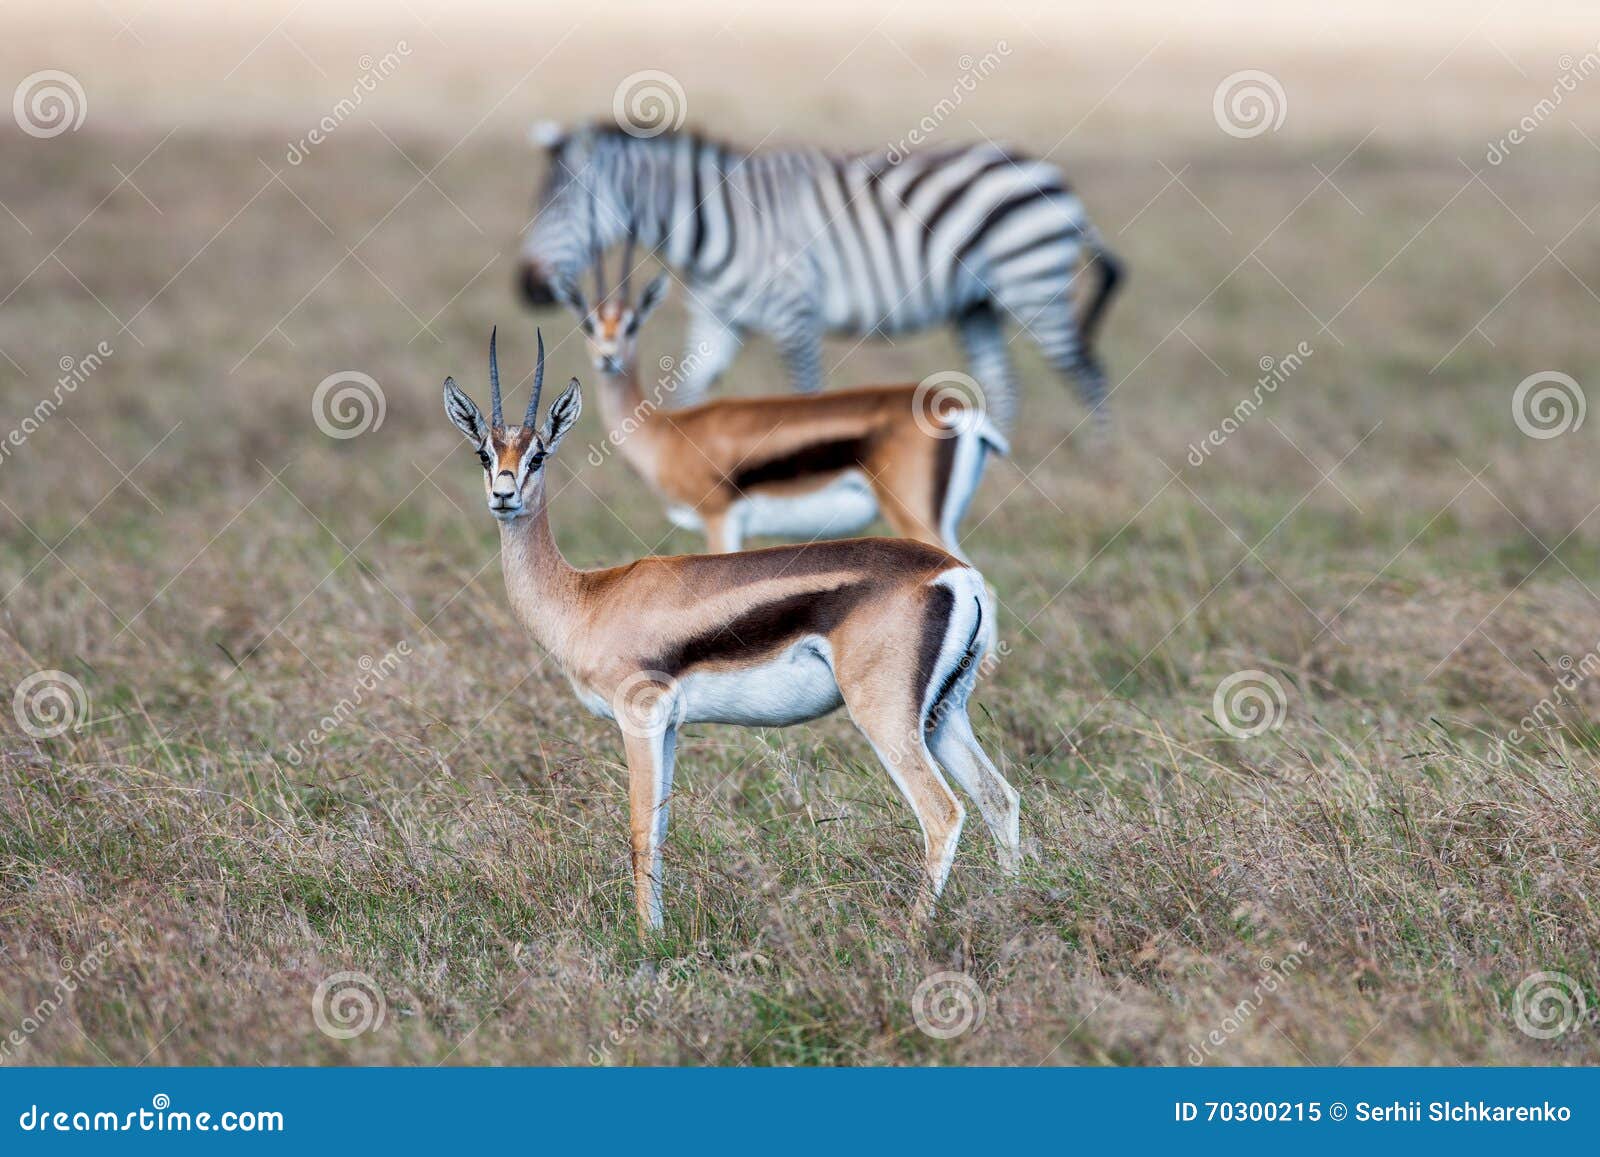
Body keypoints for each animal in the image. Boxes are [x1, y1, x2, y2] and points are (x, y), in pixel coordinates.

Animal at [517, 123, 1123, 433]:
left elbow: (804, 398)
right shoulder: (718, 321)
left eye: (562, 207)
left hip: (1033, 283)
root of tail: (1052, 174)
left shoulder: (795, 314)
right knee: (1003, 385)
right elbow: (690, 395)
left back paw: (1102, 466)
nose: (525, 286)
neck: (721, 224)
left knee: (1090, 377)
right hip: (977, 304)